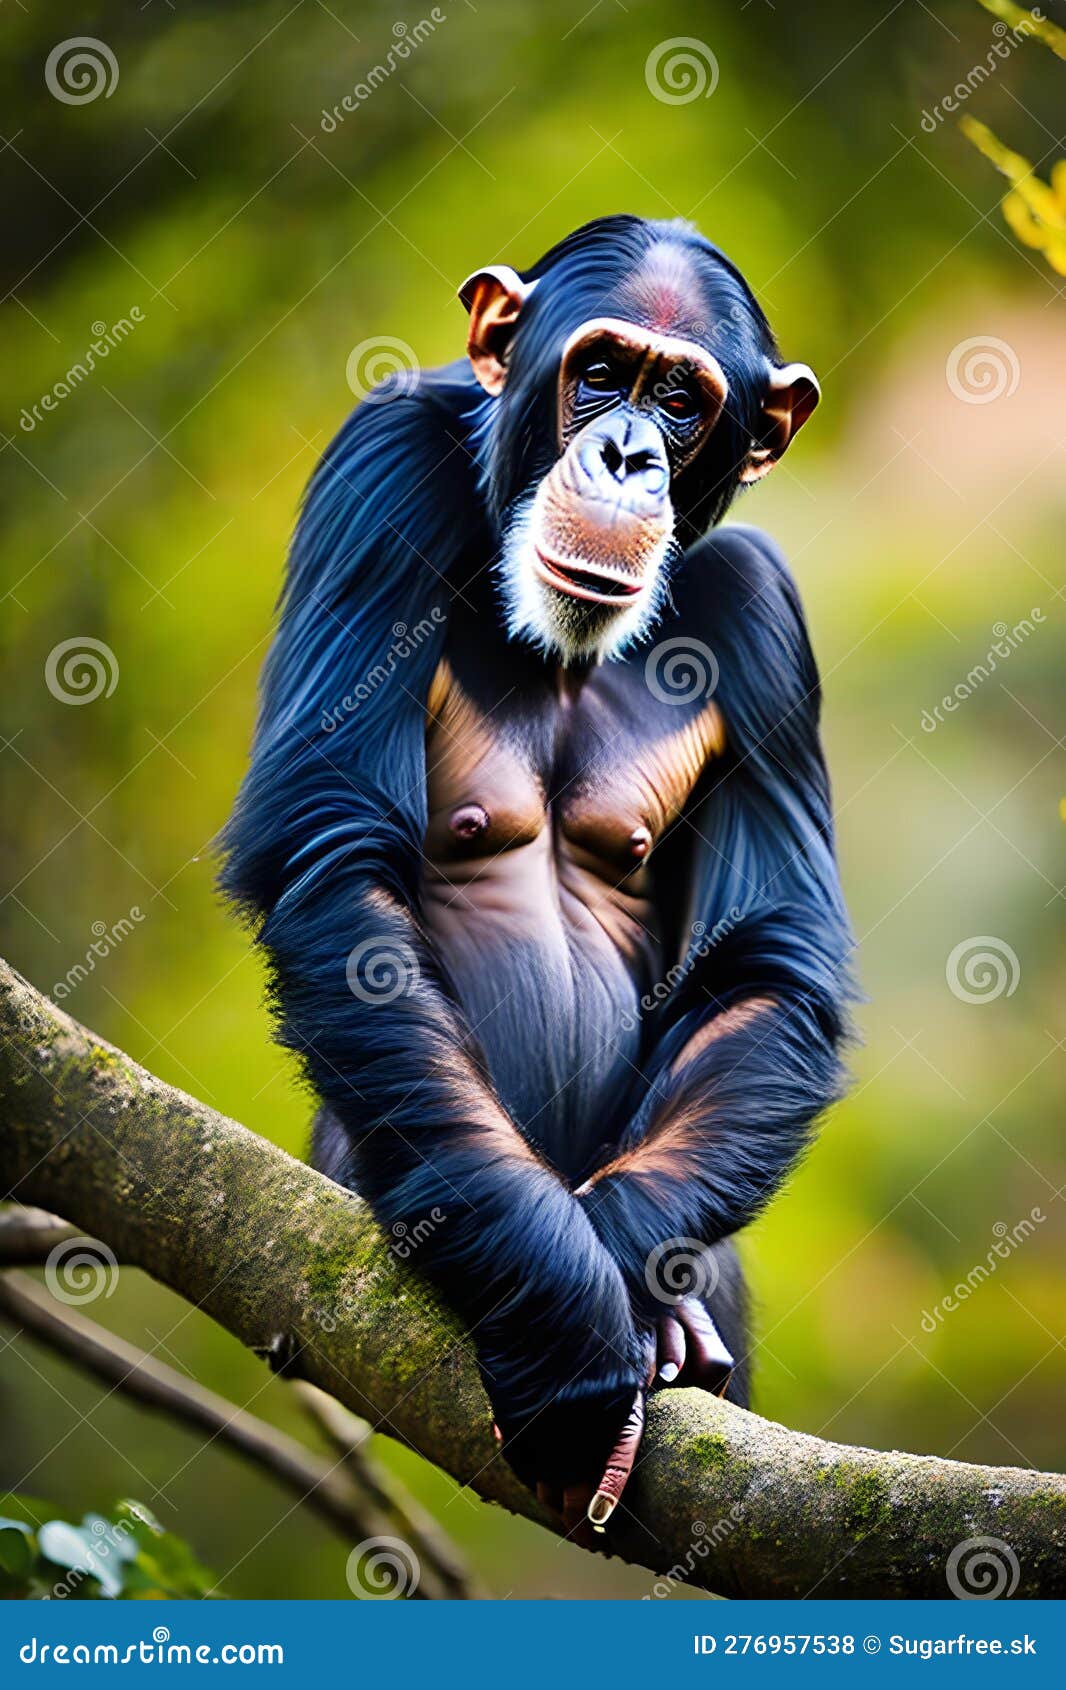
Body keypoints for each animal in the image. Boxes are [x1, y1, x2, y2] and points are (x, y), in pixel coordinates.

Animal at [222, 214, 853, 1541]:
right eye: (601, 372)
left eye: (681, 399)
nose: (624, 454)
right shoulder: (379, 467)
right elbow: (334, 852)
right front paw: (567, 1324)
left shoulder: (764, 613)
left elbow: (767, 958)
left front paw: (621, 1261)